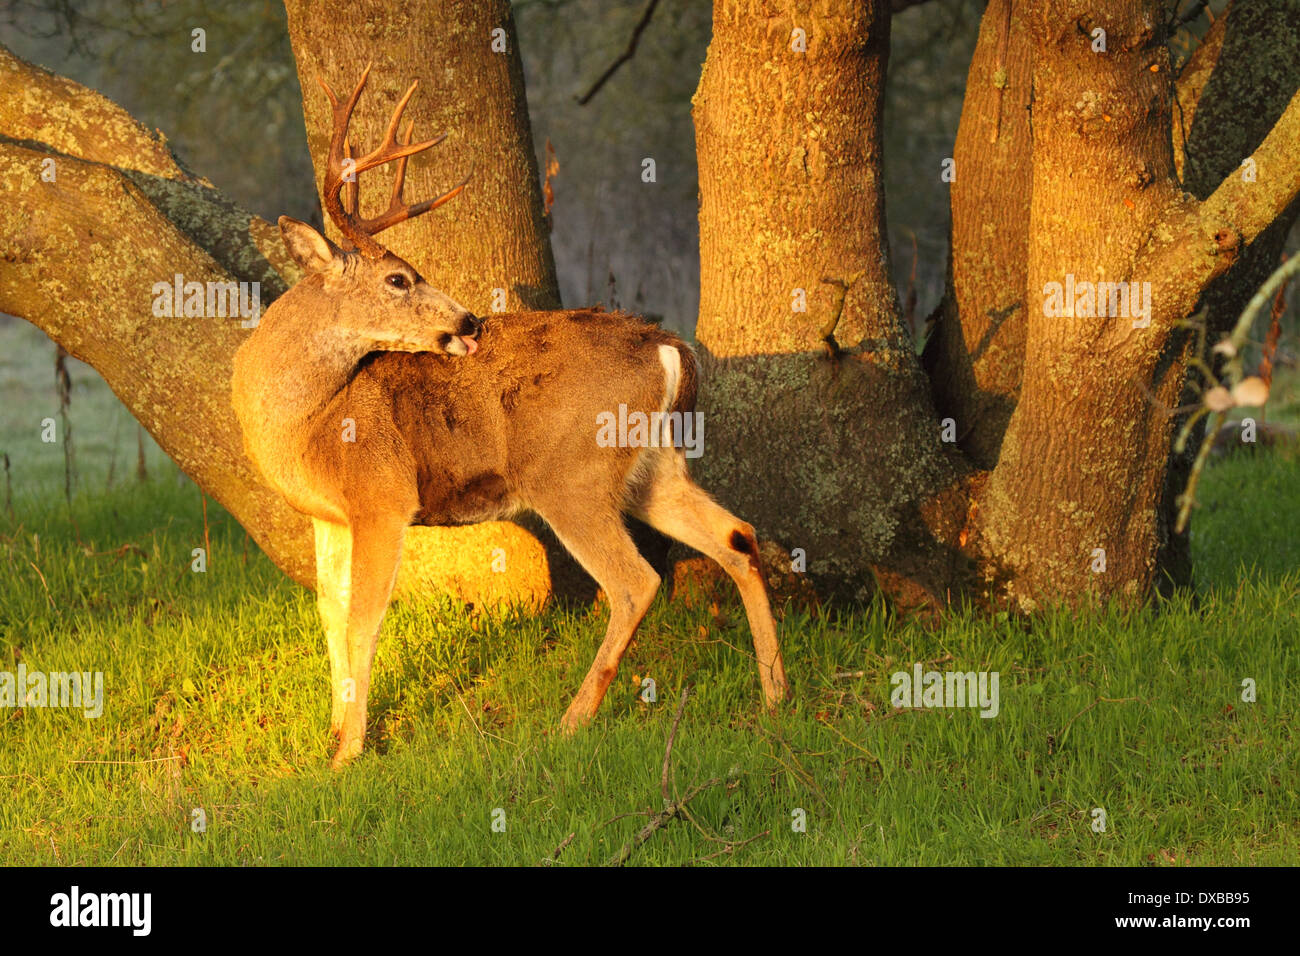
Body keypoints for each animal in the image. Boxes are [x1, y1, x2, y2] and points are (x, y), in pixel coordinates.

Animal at [231, 67, 787, 768]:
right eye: (398, 279)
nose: (469, 321)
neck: (308, 422)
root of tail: (665, 347)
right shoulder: (329, 514)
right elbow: (330, 615)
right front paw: (334, 732)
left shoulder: (383, 497)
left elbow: (363, 620)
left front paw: (347, 755)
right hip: (652, 467)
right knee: (736, 536)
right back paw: (776, 694)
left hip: (569, 475)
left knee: (636, 580)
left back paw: (571, 721)